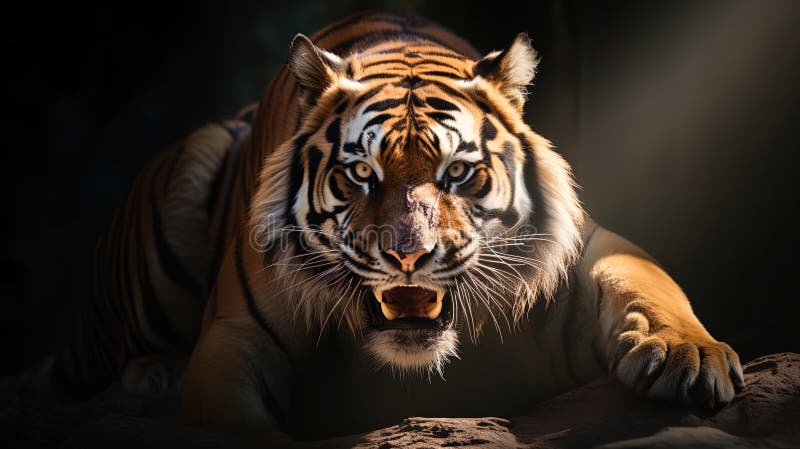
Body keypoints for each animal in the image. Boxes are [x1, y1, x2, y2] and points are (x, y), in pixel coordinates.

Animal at [37, 11, 743, 442]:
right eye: (361, 173)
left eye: (459, 173)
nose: (409, 256)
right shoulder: (234, 334)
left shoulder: (581, 253)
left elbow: (645, 279)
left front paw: (688, 354)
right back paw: (152, 376)